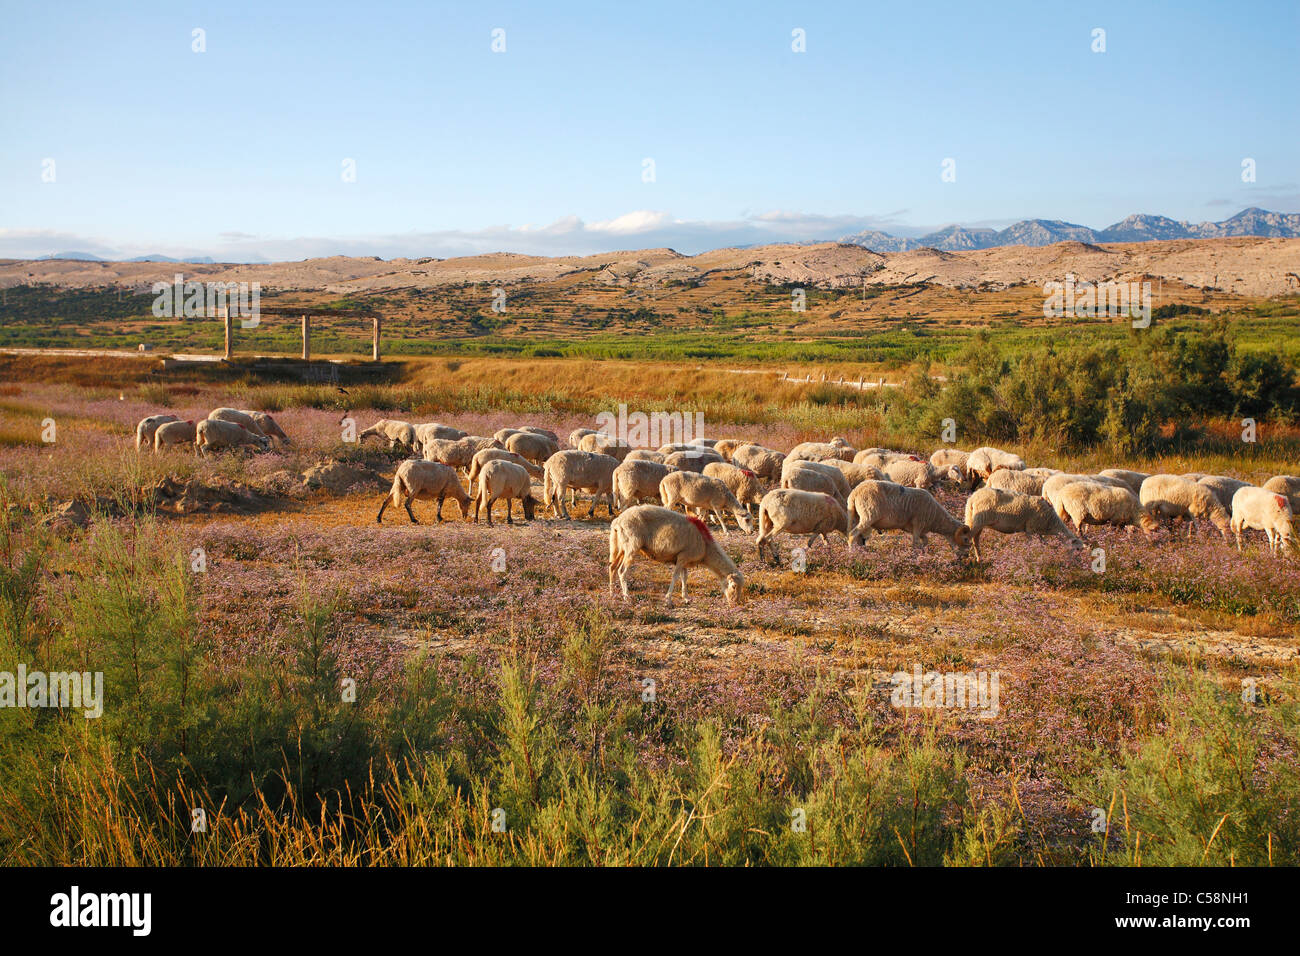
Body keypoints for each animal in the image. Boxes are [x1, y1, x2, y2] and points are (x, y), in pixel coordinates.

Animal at [607, 505, 743, 607]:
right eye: (733, 586)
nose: (735, 604)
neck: (706, 547)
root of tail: (618, 521)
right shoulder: (682, 557)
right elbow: (675, 576)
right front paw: (668, 600)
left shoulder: (685, 560)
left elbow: (684, 577)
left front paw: (686, 598)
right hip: (631, 546)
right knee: (622, 571)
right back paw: (627, 597)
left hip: (618, 547)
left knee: (612, 567)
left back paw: (612, 594)